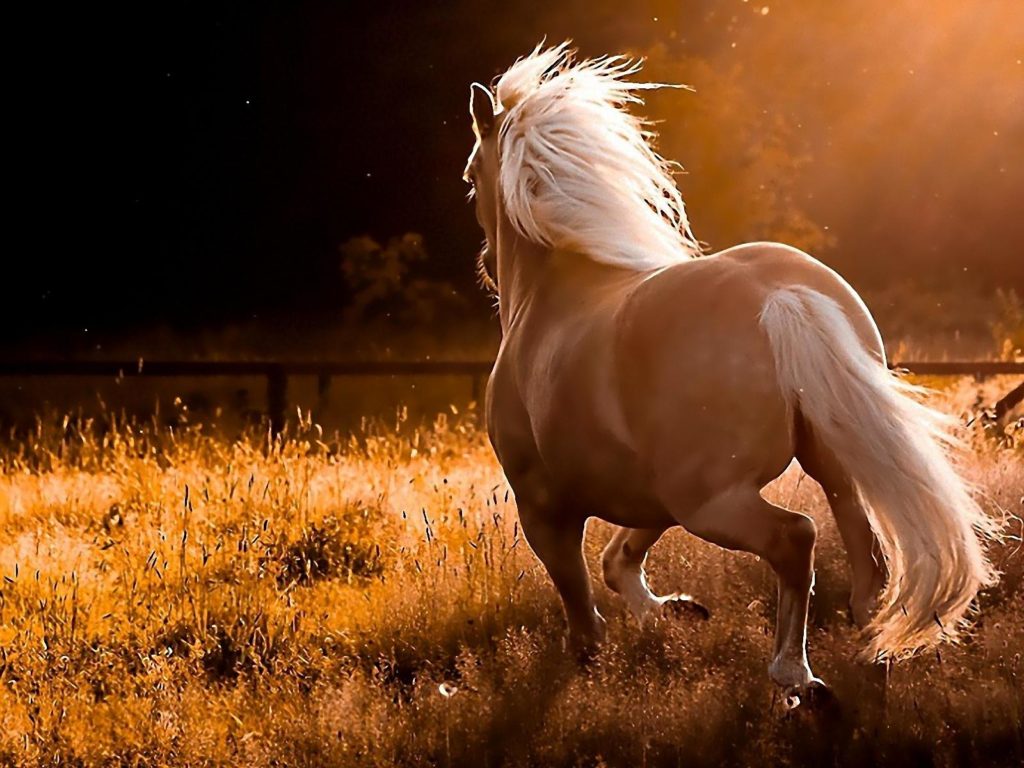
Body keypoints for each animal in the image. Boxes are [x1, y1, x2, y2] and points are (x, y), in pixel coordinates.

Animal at [462, 43, 997, 696]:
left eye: (471, 177)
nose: (486, 267)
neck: (550, 296)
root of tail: (781, 297)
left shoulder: (544, 505)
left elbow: (580, 602)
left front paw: (591, 661)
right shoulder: (649, 495)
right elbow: (618, 562)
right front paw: (674, 611)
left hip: (712, 502)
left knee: (796, 538)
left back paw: (797, 676)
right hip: (819, 466)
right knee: (864, 550)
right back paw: (871, 649)